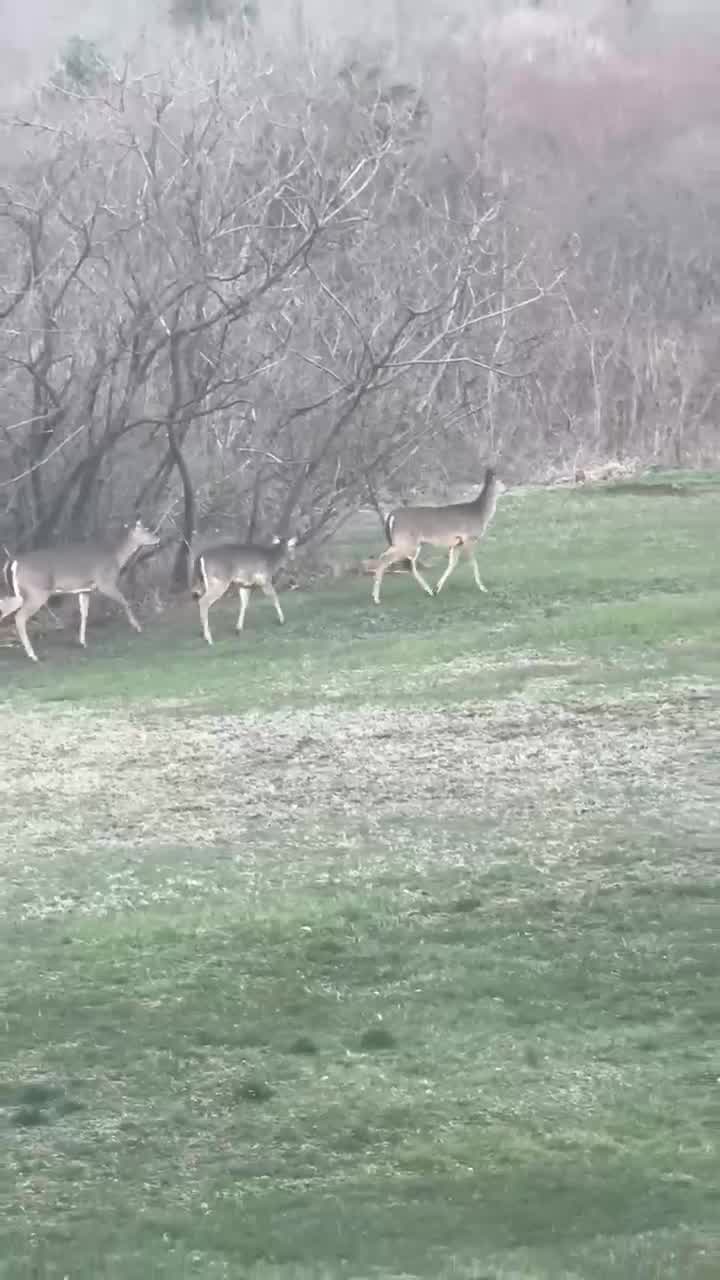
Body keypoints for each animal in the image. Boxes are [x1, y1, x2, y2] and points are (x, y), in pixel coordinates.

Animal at [0, 519, 160, 662]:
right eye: (145, 530)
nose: (157, 538)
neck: (116, 558)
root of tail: (13, 562)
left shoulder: (84, 590)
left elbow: (84, 614)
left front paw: (82, 642)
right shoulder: (105, 582)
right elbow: (125, 602)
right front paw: (138, 627)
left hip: (19, 594)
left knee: (4, 608)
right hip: (37, 592)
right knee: (19, 617)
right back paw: (33, 655)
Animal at [372, 466, 504, 605]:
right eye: (502, 481)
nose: (506, 488)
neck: (481, 513)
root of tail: (391, 515)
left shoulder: (457, 543)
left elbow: (452, 564)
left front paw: (437, 588)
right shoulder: (469, 538)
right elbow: (473, 562)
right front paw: (483, 588)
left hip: (403, 542)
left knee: (400, 562)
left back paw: (428, 590)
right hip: (407, 542)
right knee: (388, 559)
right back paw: (376, 598)